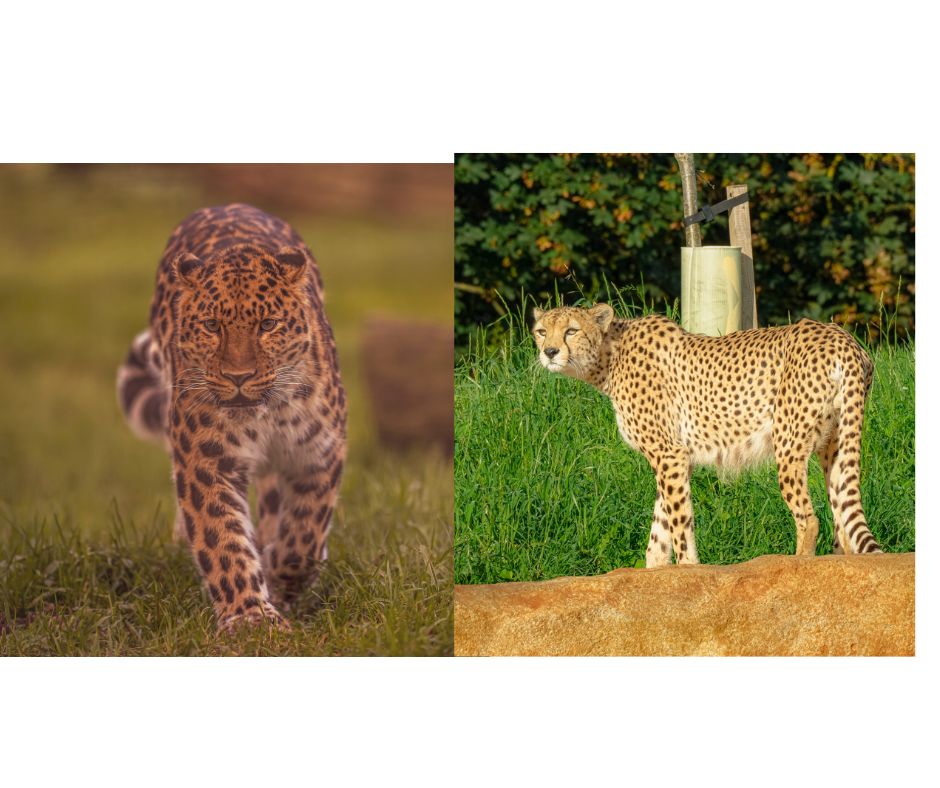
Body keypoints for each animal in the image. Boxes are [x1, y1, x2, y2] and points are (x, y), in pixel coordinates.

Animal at [117, 203, 347, 630]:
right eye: (212, 326)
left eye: (267, 325)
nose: (238, 377)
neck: (268, 414)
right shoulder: (206, 463)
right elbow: (221, 540)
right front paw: (251, 618)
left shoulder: (318, 454)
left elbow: (305, 534)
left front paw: (283, 575)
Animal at [532, 303, 881, 569]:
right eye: (541, 331)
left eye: (571, 330)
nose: (549, 352)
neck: (609, 356)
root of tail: (842, 337)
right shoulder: (676, 459)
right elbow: (659, 531)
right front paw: (655, 574)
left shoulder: (669, 454)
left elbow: (679, 525)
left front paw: (688, 571)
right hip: (835, 443)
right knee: (843, 521)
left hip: (789, 443)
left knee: (810, 518)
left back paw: (798, 564)